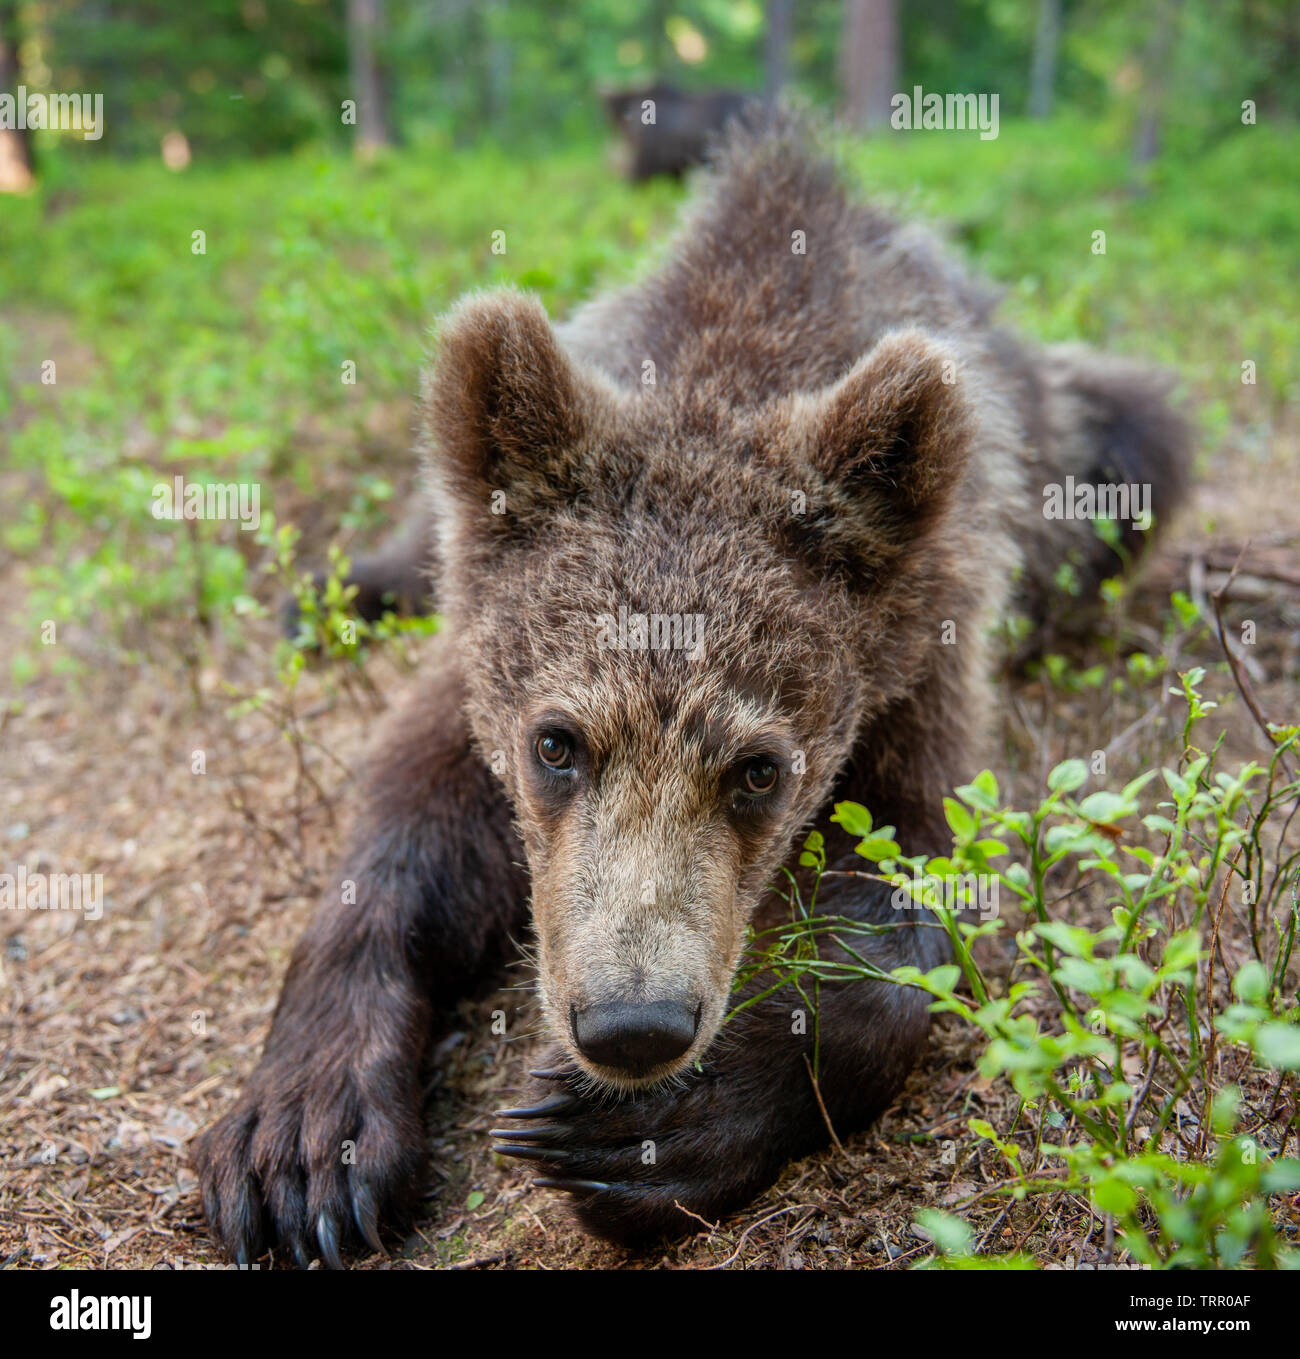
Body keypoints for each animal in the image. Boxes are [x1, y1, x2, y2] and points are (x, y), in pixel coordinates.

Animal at [192, 112, 1188, 1267]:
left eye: (759, 769)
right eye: (557, 742)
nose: (633, 1027)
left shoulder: (922, 662)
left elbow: (905, 893)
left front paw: (640, 1132)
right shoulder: (476, 669)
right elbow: (404, 837)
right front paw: (306, 1144)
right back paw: (344, 587)